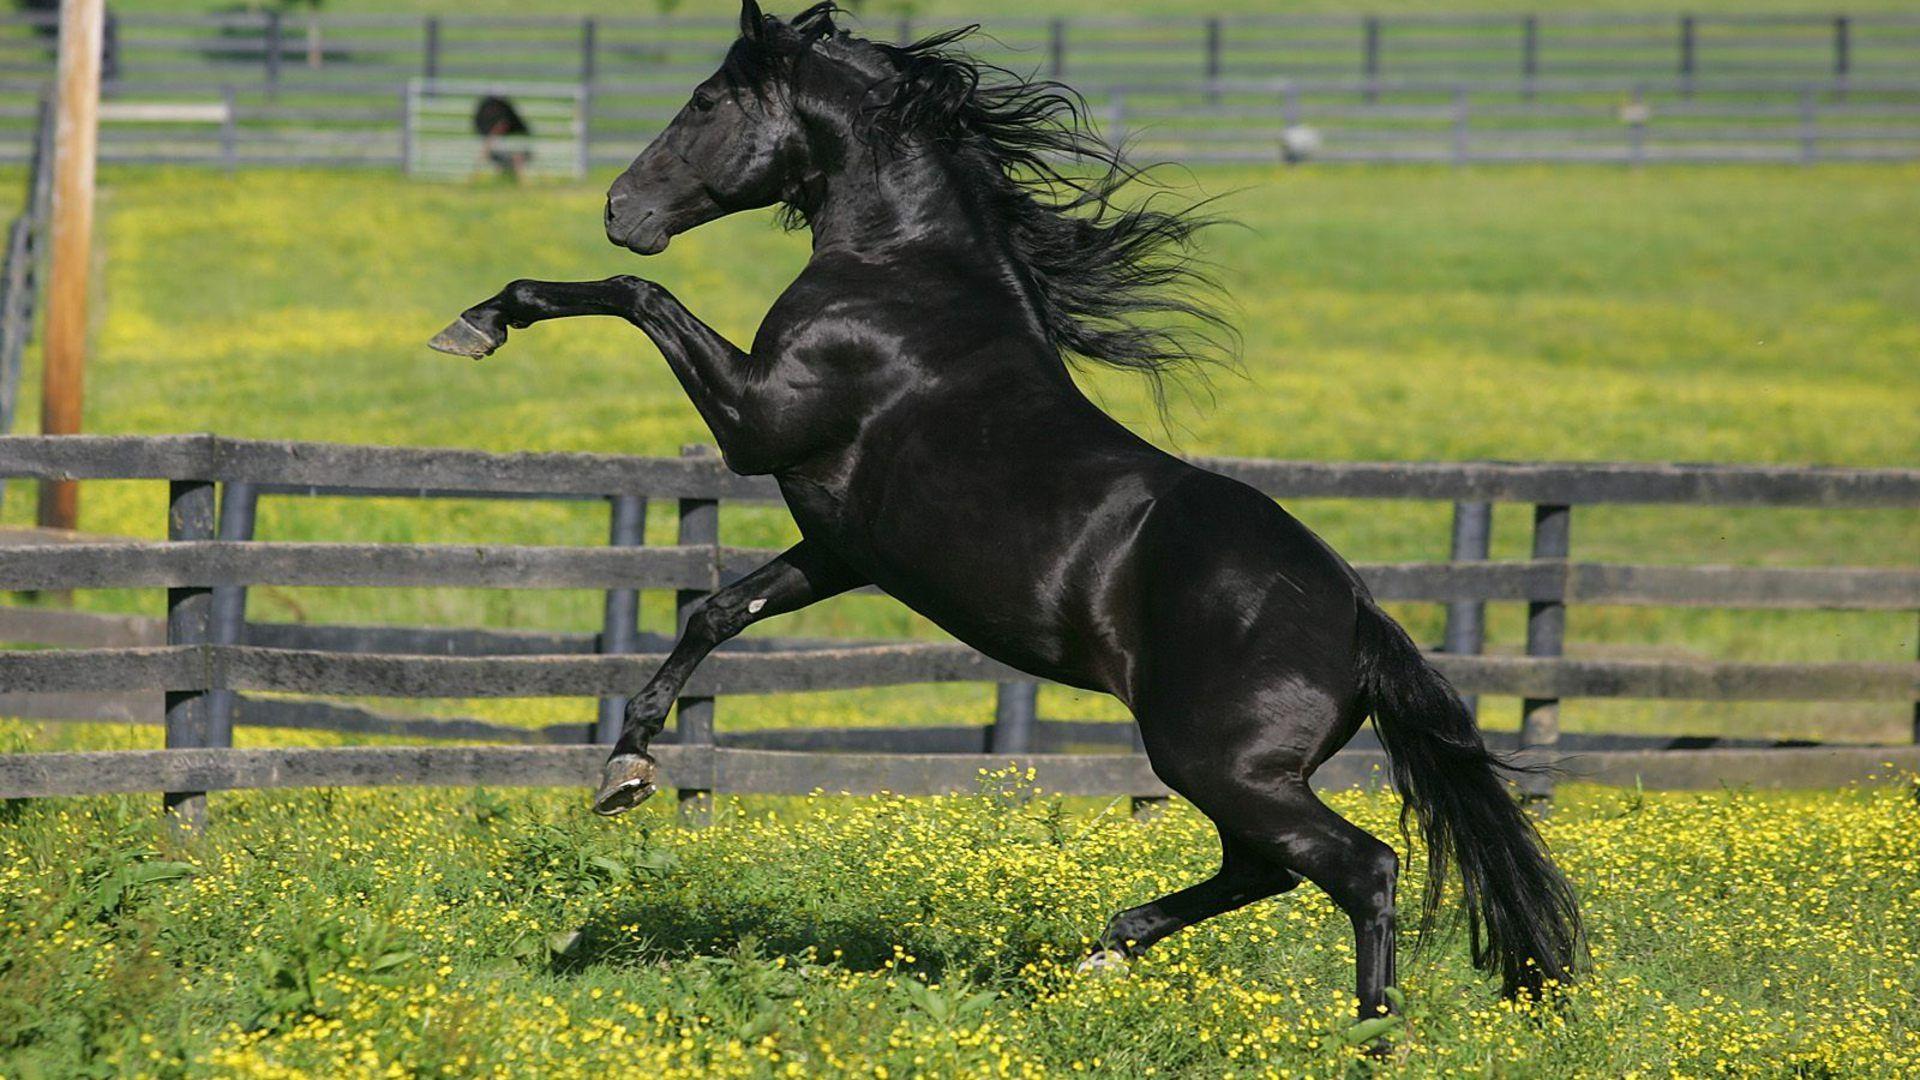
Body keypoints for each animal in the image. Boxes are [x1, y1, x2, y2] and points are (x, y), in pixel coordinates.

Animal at [429, 1, 1584, 1019]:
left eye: (708, 99)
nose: (620, 210)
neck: (904, 279)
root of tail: (1358, 617)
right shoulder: (840, 547)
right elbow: (715, 611)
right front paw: (625, 765)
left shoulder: (757, 424)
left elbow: (637, 299)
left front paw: (480, 320)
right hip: (1235, 774)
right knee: (1264, 870)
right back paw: (1108, 949)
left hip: (1218, 763)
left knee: (1360, 867)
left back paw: (1369, 1031)